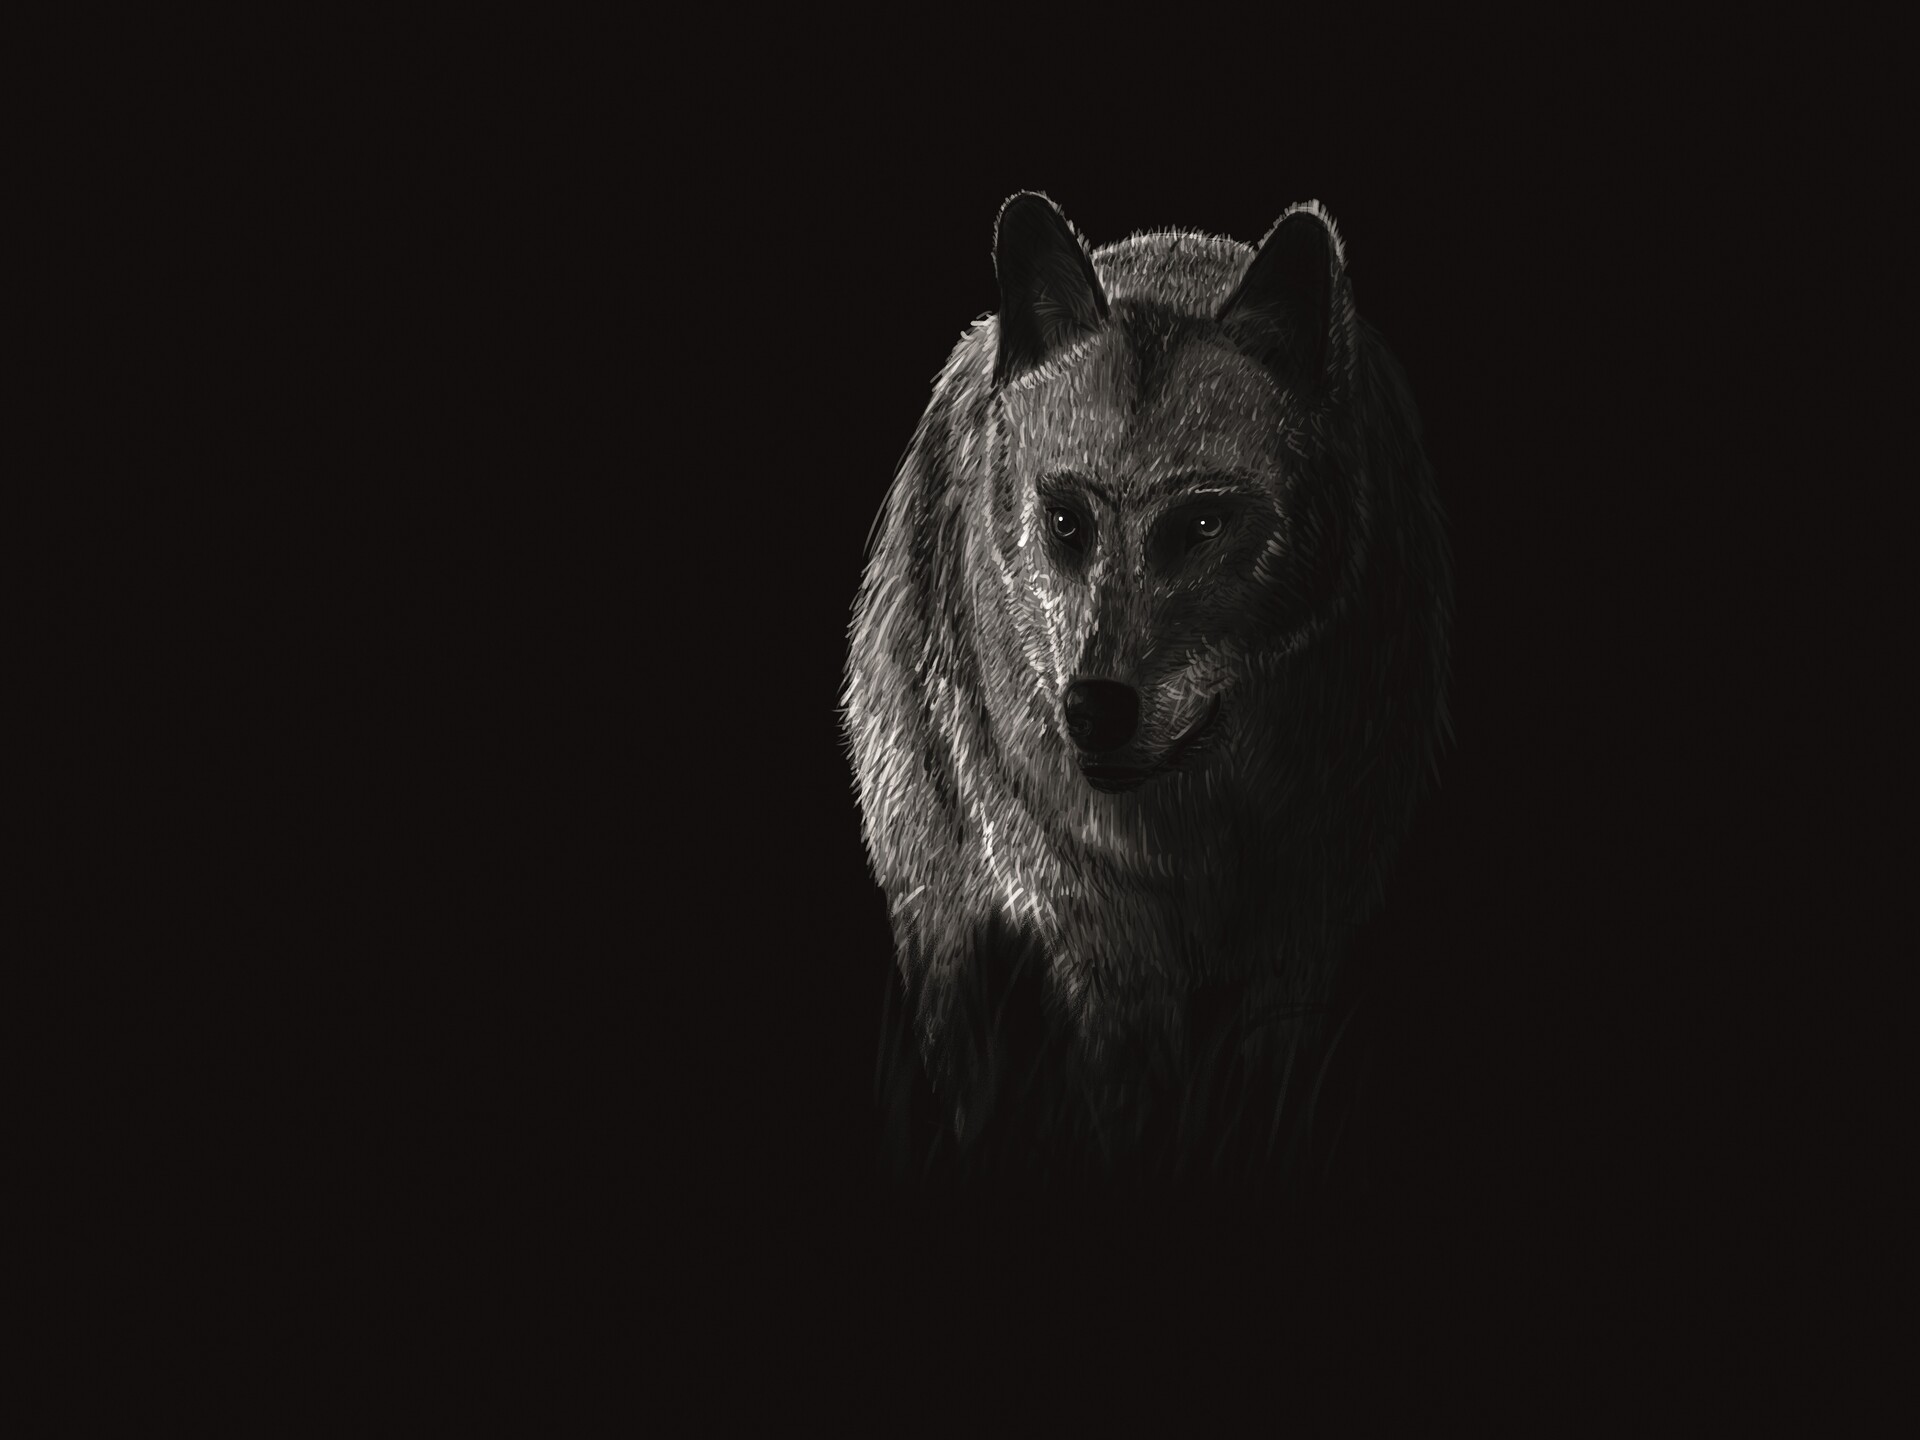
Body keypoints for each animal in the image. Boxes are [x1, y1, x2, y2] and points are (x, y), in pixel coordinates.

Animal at [843, 193, 1452, 1179]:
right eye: (1066, 521)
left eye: (1201, 523)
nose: (1093, 711)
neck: (1213, 811)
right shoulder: (1108, 945)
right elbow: (1129, 1105)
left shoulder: (1307, 923)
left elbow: (1267, 1084)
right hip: (938, 915)